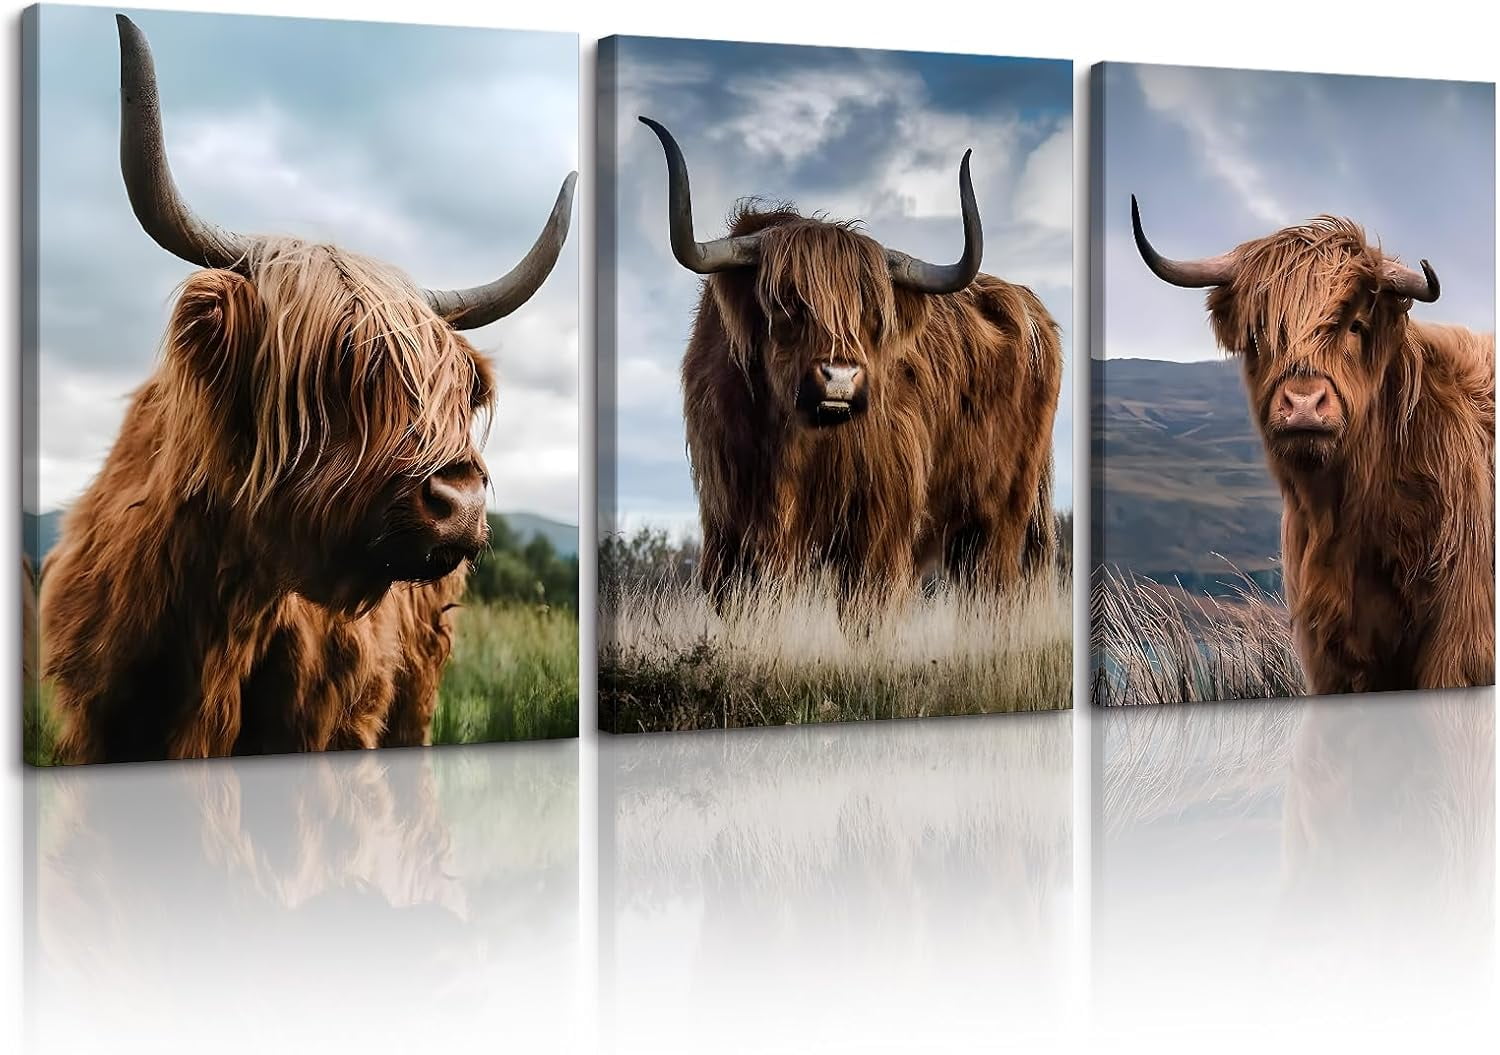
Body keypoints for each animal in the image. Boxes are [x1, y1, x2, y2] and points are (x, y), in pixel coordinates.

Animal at [640, 117, 1063, 608]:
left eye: (873, 314)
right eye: (787, 303)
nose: (839, 378)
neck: (790, 444)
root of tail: (1032, 308)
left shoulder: (878, 529)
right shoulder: (730, 525)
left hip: (1000, 521)